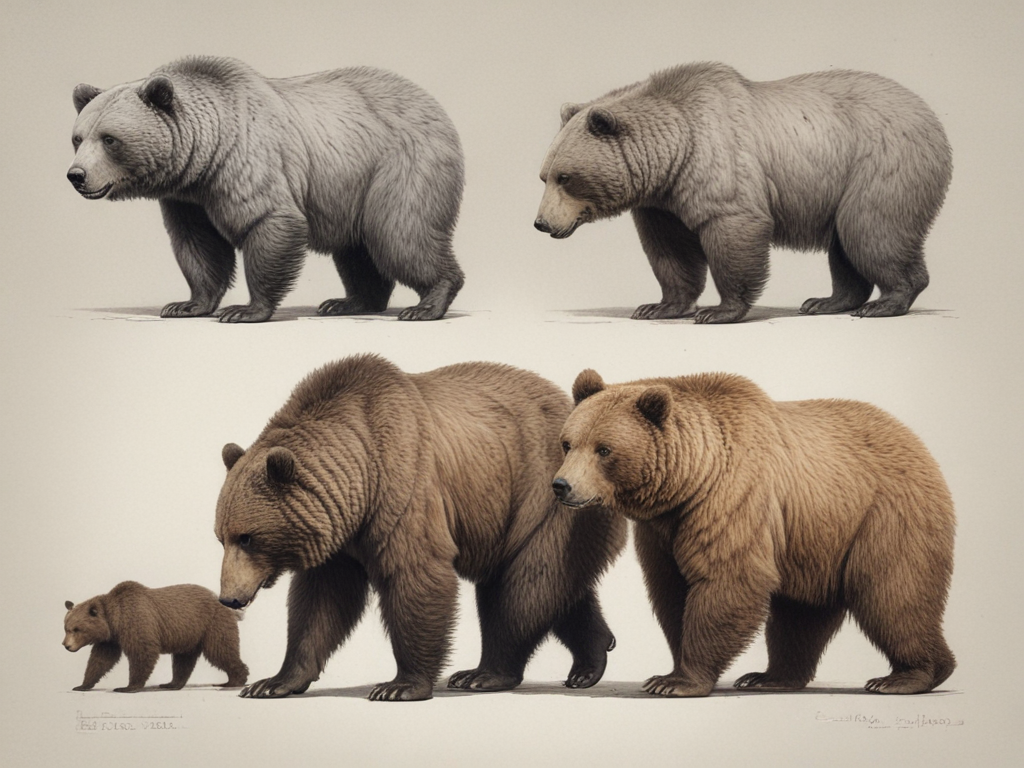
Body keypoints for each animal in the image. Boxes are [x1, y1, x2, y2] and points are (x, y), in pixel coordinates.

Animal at [63, 581, 248, 692]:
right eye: (66, 628)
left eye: (76, 629)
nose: (66, 645)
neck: (115, 618)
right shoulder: (111, 638)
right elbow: (101, 659)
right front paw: (82, 685)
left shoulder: (136, 620)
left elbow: (142, 652)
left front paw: (128, 687)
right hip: (189, 634)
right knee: (183, 660)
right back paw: (171, 684)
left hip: (211, 624)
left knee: (220, 651)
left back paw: (234, 680)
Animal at [67, 56, 465, 323]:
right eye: (77, 138)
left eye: (110, 139)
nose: (76, 175)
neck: (207, 152)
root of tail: (435, 106)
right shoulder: (189, 198)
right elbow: (199, 246)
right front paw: (186, 304)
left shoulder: (249, 161)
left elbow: (267, 221)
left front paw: (244, 310)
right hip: (351, 188)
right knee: (358, 250)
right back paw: (346, 302)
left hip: (401, 168)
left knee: (400, 235)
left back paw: (426, 304)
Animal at [215, 354, 627, 701]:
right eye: (221, 537)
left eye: (247, 537)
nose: (229, 598)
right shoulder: (339, 533)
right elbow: (320, 602)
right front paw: (273, 682)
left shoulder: (403, 487)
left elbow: (415, 574)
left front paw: (399, 685)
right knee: (556, 590)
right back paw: (591, 657)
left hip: (543, 503)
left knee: (523, 588)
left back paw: (483, 673)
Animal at [535, 62, 952, 323]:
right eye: (544, 176)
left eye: (565, 177)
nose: (541, 223)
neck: (676, 149)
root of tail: (929, 114)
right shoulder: (663, 201)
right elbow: (670, 250)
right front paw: (658, 306)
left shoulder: (720, 163)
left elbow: (732, 230)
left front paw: (719, 311)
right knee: (846, 243)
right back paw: (826, 301)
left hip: (882, 165)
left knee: (870, 230)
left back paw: (886, 302)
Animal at [553, 369, 956, 697]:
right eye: (568, 442)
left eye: (604, 449)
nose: (561, 485)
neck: (693, 478)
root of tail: (916, 441)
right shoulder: (663, 530)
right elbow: (672, 591)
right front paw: (670, 671)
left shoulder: (731, 501)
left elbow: (725, 579)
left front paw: (675, 682)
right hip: (816, 539)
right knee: (800, 614)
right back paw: (769, 677)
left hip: (885, 516)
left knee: (894, 594)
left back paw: (906, 677)